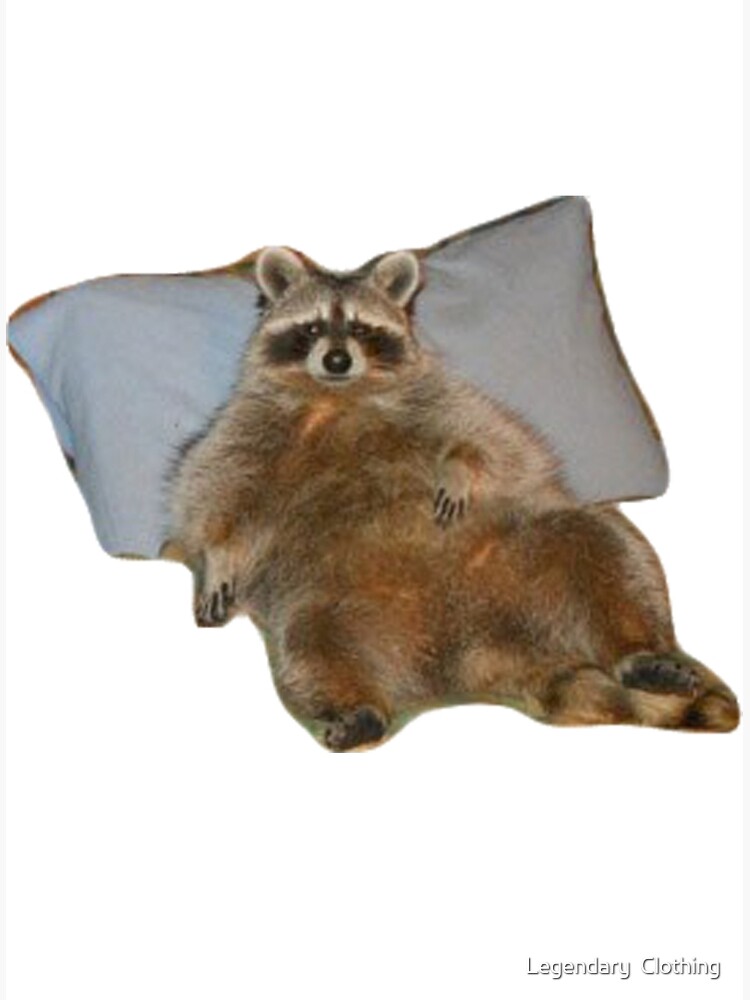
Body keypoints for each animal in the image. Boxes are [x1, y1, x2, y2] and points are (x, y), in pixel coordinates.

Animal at [168, 247, 739, 750]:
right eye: (310, 328)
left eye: (361, 329)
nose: (336, 358)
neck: (336, 396)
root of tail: (473, 653)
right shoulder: (248, 424)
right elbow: (210, 485)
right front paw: (219, 554)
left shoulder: (438, 394)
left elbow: (494, 439)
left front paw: (459, 467)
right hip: (334, 600)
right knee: (309, 644)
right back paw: (355, 708)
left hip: (526, 556)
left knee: (602, 542)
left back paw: (638, 649)